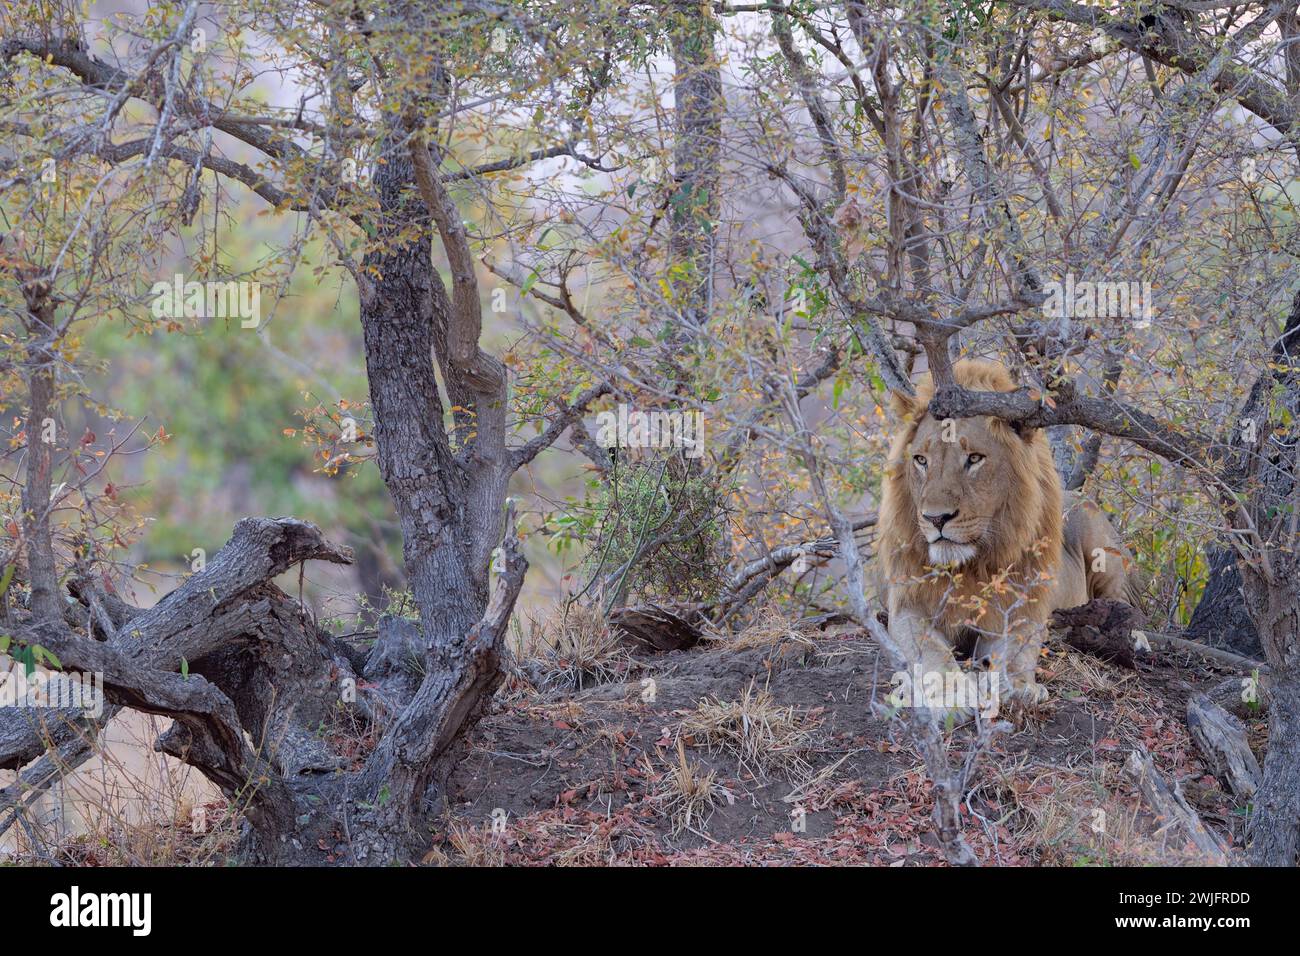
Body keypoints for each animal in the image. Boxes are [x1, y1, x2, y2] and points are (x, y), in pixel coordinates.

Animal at [878, 360, 1137, 706]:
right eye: (921, 460)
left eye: (974, 458)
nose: (936, 518)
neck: (969, 566)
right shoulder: (909, 606)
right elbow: (930, 651)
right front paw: (951, 691)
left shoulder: (1020, 610)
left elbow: (1016, 652)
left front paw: (1018, 685)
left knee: (1125, 607)